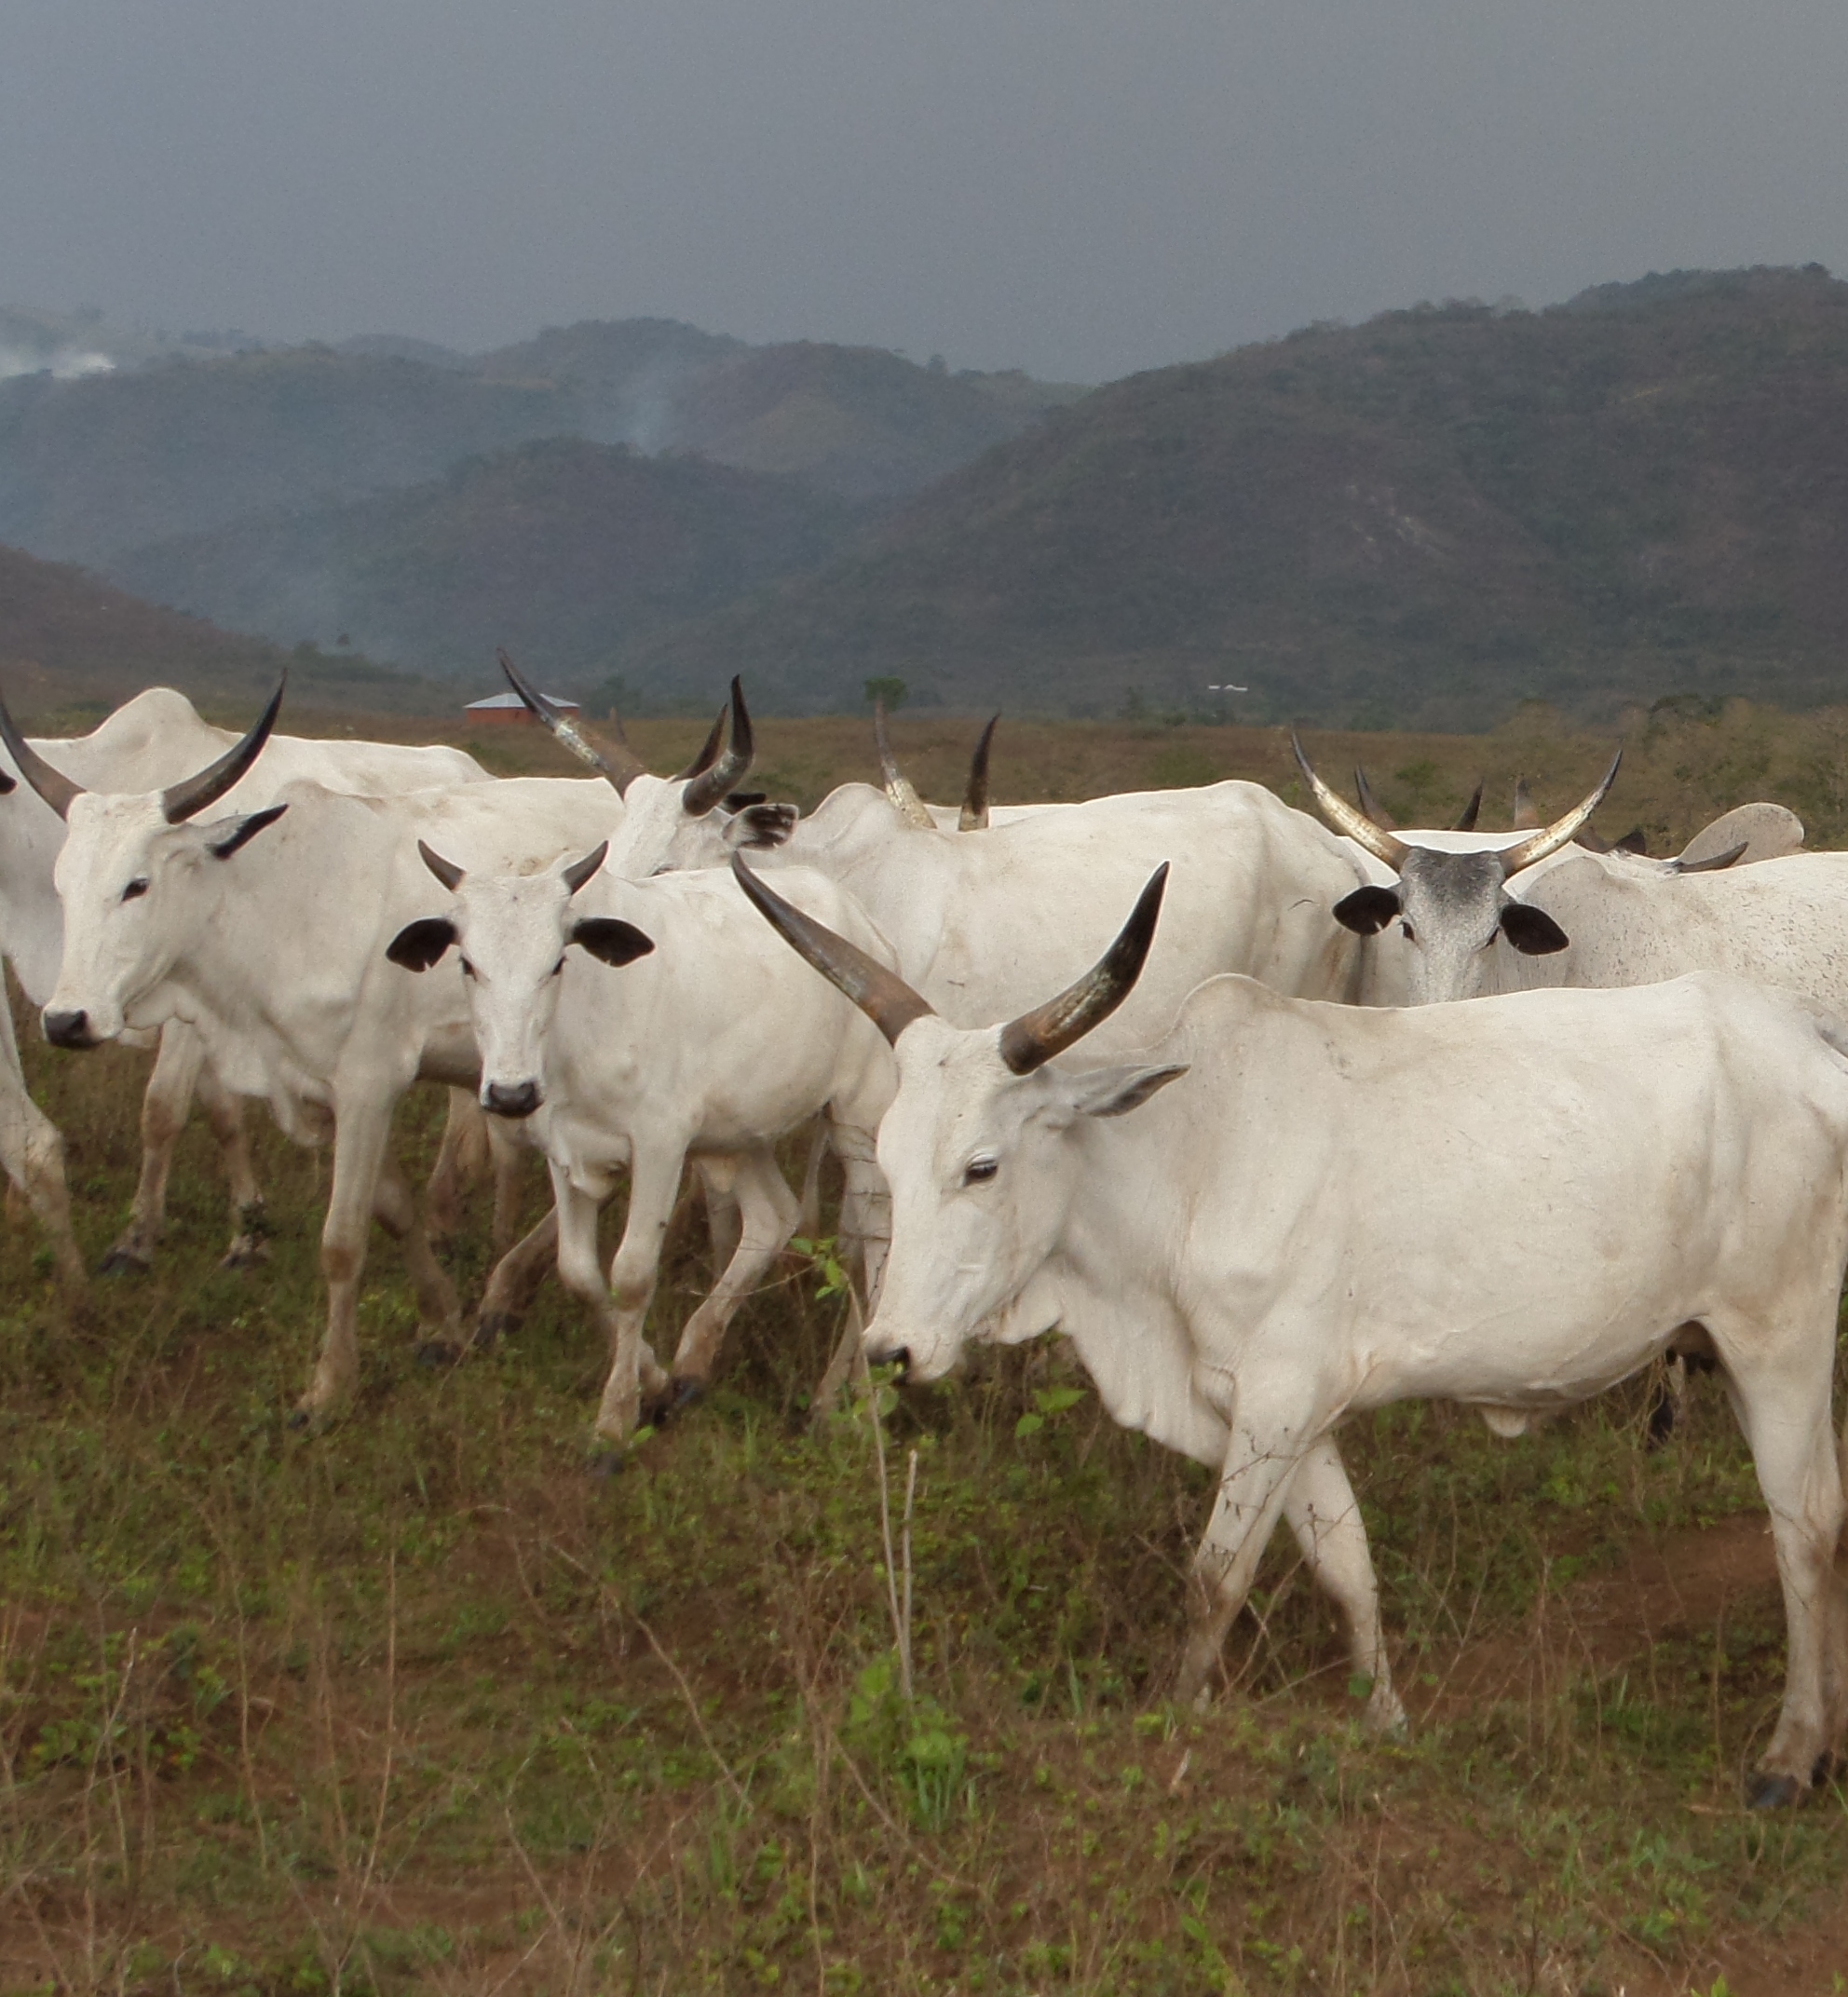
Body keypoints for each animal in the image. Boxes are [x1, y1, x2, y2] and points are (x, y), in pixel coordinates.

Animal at [733, 854, 1848, 1808]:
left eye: (981, 1166)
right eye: (884, 1152)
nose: (891, 1350)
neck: (1188, 1161)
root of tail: (1815, 1062)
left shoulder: (1272, 1406)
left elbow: (1213, 1581)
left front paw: (1179, 1721)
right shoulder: (1289, 1414)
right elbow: (1346, 1567)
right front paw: (1385, 1720)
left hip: (1775, 1342)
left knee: (1802, 1526)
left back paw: (1791, 1753)